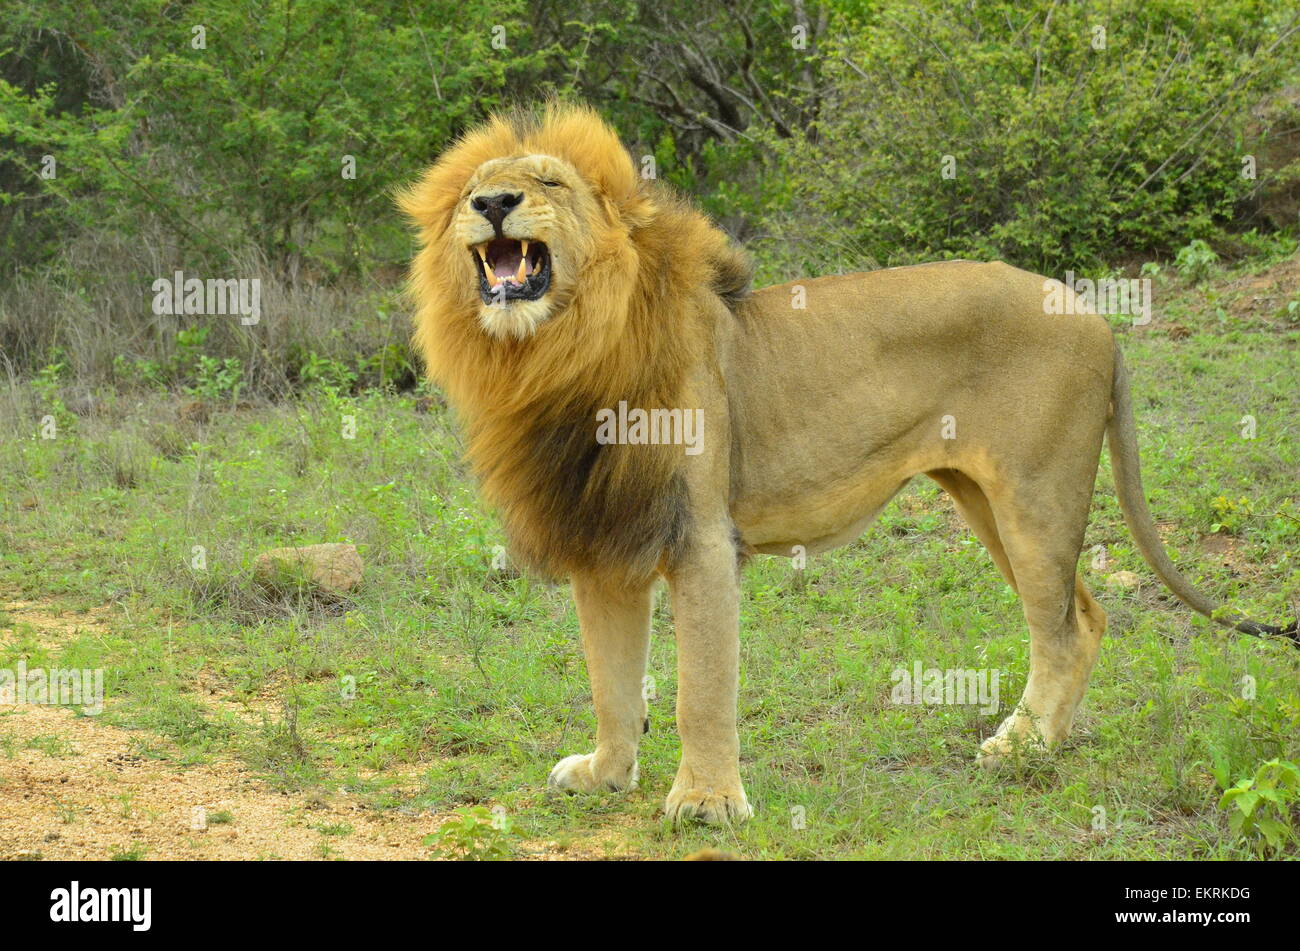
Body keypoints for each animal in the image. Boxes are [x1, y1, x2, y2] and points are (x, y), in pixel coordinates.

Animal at [398, 103, 1296, 824]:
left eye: (546, 180)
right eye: (475, 189)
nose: (493, 205)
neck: (552, 356)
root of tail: (1098, 316)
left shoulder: (700, 539)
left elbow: (699, 689)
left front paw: (707, 803)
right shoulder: (605, 539)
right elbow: (613, 683)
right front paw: (607, 774)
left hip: (1035, 497)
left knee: (1063, 628)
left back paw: (1019, 746)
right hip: (988, 500)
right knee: (1089, 613)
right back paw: (1046, 739)